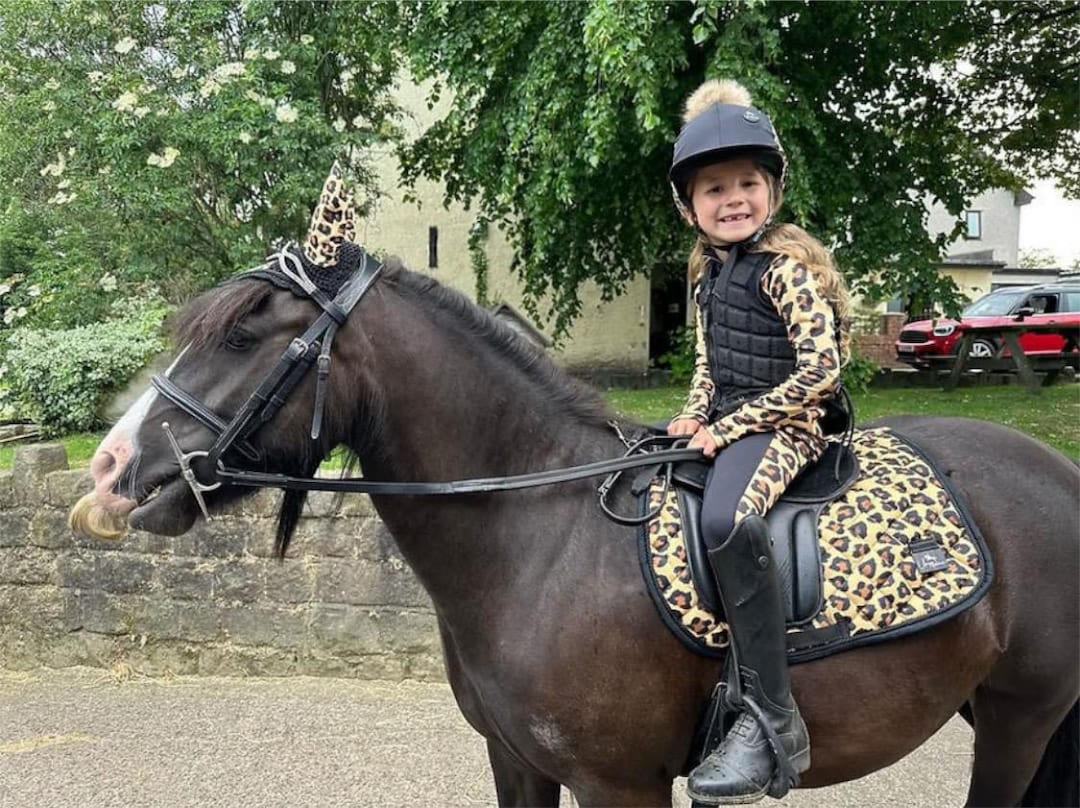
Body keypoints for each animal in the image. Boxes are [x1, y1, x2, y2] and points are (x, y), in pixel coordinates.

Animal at [75, 253, 1079, 807]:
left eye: (243, 336)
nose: (109, 468)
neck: (536, 534)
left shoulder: (620, 786)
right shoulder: (516, 762)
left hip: (1024, 716)